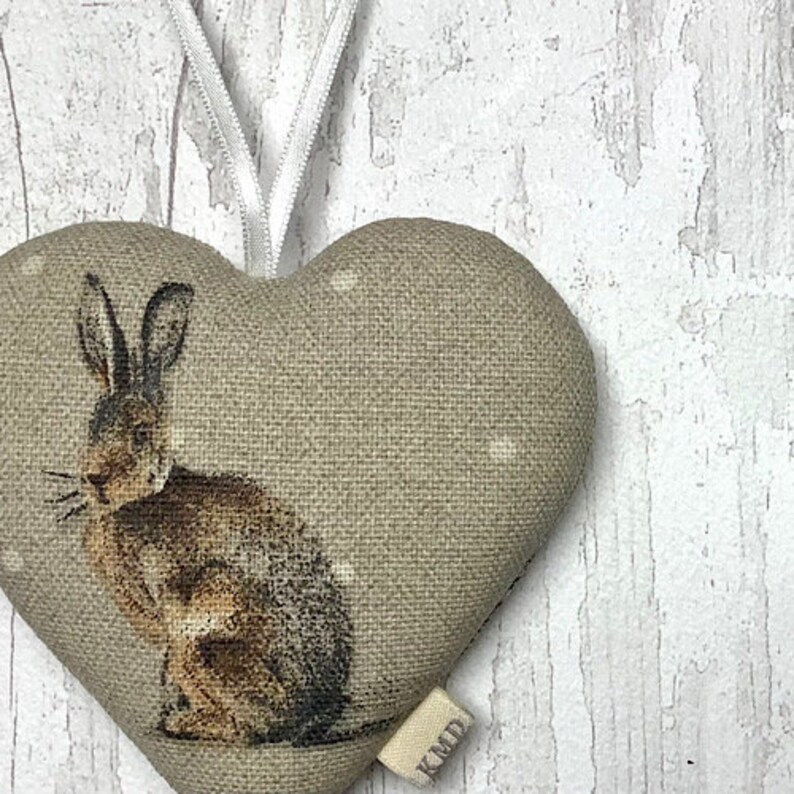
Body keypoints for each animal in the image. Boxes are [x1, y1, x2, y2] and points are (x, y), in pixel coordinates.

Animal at [74, 272, 356, 745]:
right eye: (91, 428)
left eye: (140, 433)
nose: (94, 479)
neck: (144, 500)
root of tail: (319, 709)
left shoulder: (171, 587)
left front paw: (169, 704)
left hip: (210, 646)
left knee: (254, 728)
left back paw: (186, 722)